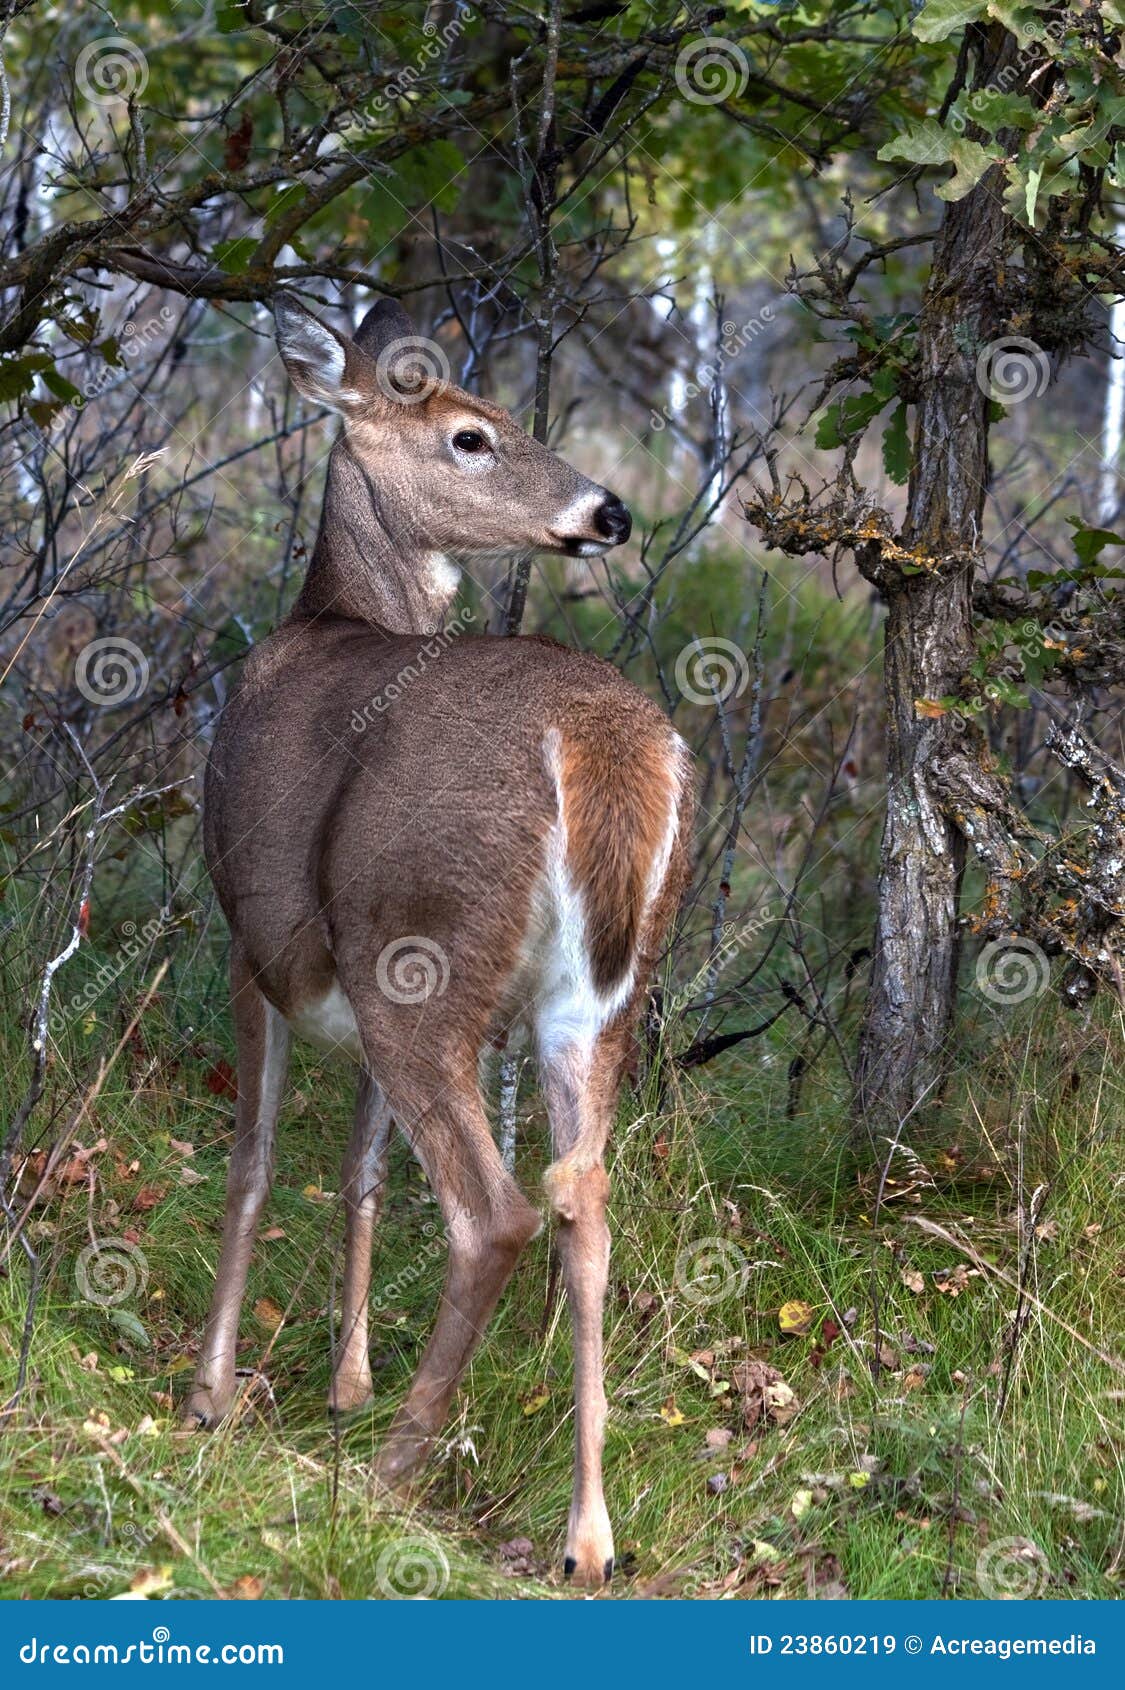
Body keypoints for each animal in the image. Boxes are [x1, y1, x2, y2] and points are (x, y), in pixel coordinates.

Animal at [187, 292, 694, 1587]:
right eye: (473, 433)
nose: (609, 512)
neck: (334, 618)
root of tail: (601, 742)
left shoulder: (253, 935)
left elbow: (254, 1162)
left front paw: (213, 1391)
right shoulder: (340, 966)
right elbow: (359, 1170)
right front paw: (346, 1381)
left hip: (424, 948)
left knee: (497, 1212)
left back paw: (389, 1474)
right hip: (595, 997)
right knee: (585, 1205)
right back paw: (586, 1536)